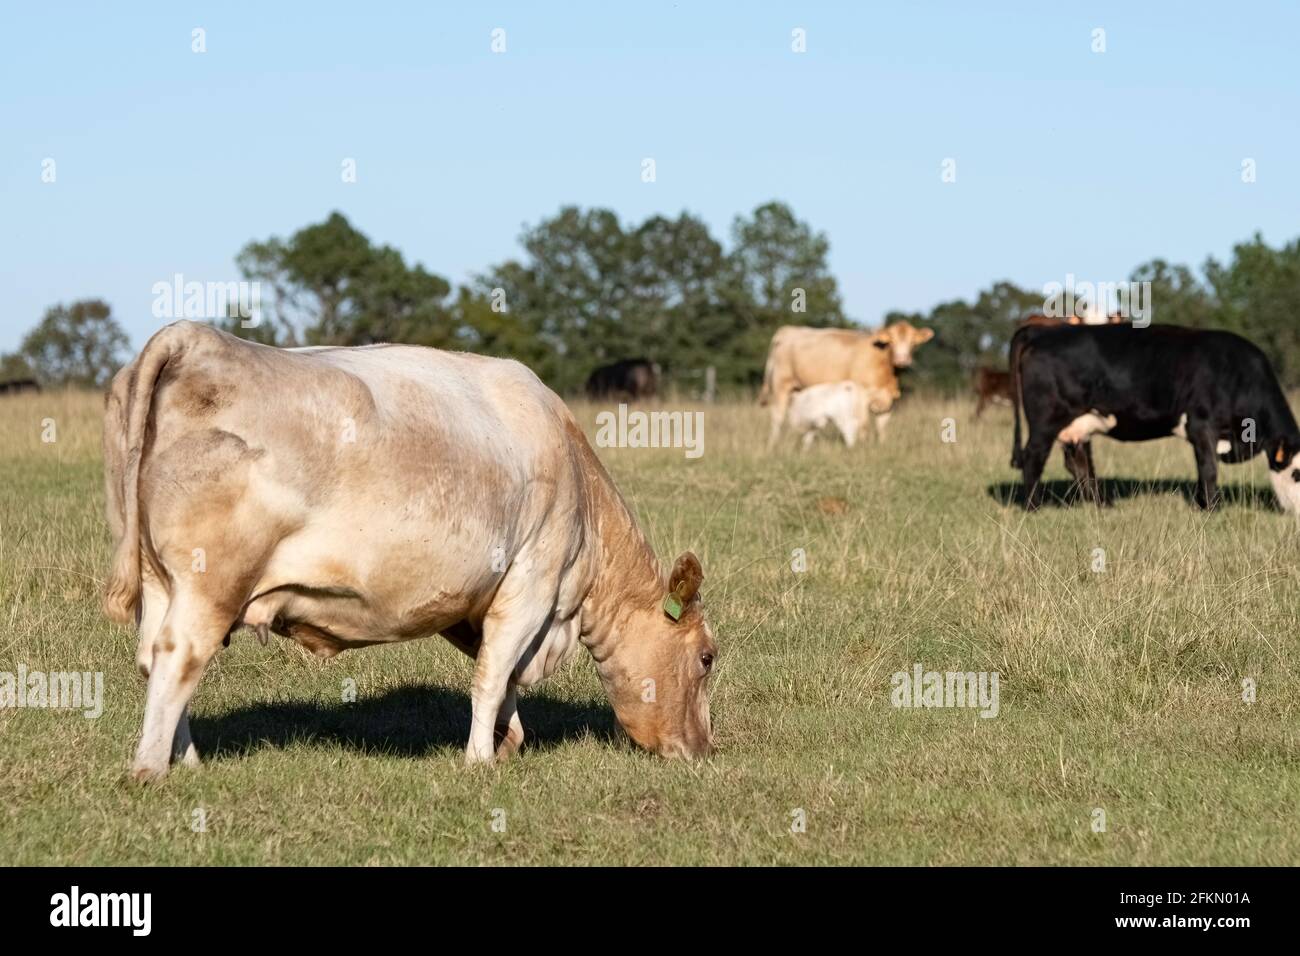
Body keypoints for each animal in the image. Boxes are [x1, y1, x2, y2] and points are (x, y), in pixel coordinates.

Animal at [102, 321, 716, 782]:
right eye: (707, 658)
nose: (704, 751)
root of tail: (196, 336)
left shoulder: (480, 602)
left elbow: (505, 679)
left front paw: (509, 742)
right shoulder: (531, 582)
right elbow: (492, 677)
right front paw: (480, 760)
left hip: (159, 578)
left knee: (153, 658)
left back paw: (188, 760)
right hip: (211, 580)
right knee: (180, 657)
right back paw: (153, 768)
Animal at [758, 320, 934, 448]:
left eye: (913, 343)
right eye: (891, 340)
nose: (902, 360)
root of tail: (786, 330)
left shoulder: (889, 399)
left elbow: (882, 426)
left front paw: (881, 446)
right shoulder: (862, 395)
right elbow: (864, 425)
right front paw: (863, 448)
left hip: (798, 390)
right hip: (781, 384)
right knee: (777, 416)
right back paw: (773, 445)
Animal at [1008, 322, 1300, 512]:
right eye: (1297, 474)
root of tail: (1042, 331)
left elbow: (1203, 467)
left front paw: (1201, 503)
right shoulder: (1202, 423)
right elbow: (1209, 468)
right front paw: (1213, 508)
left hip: (1078, 423)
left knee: (1078, 463)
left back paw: (1104, 505)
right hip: (1046, 420)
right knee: (1033, 457)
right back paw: (1033, 507)